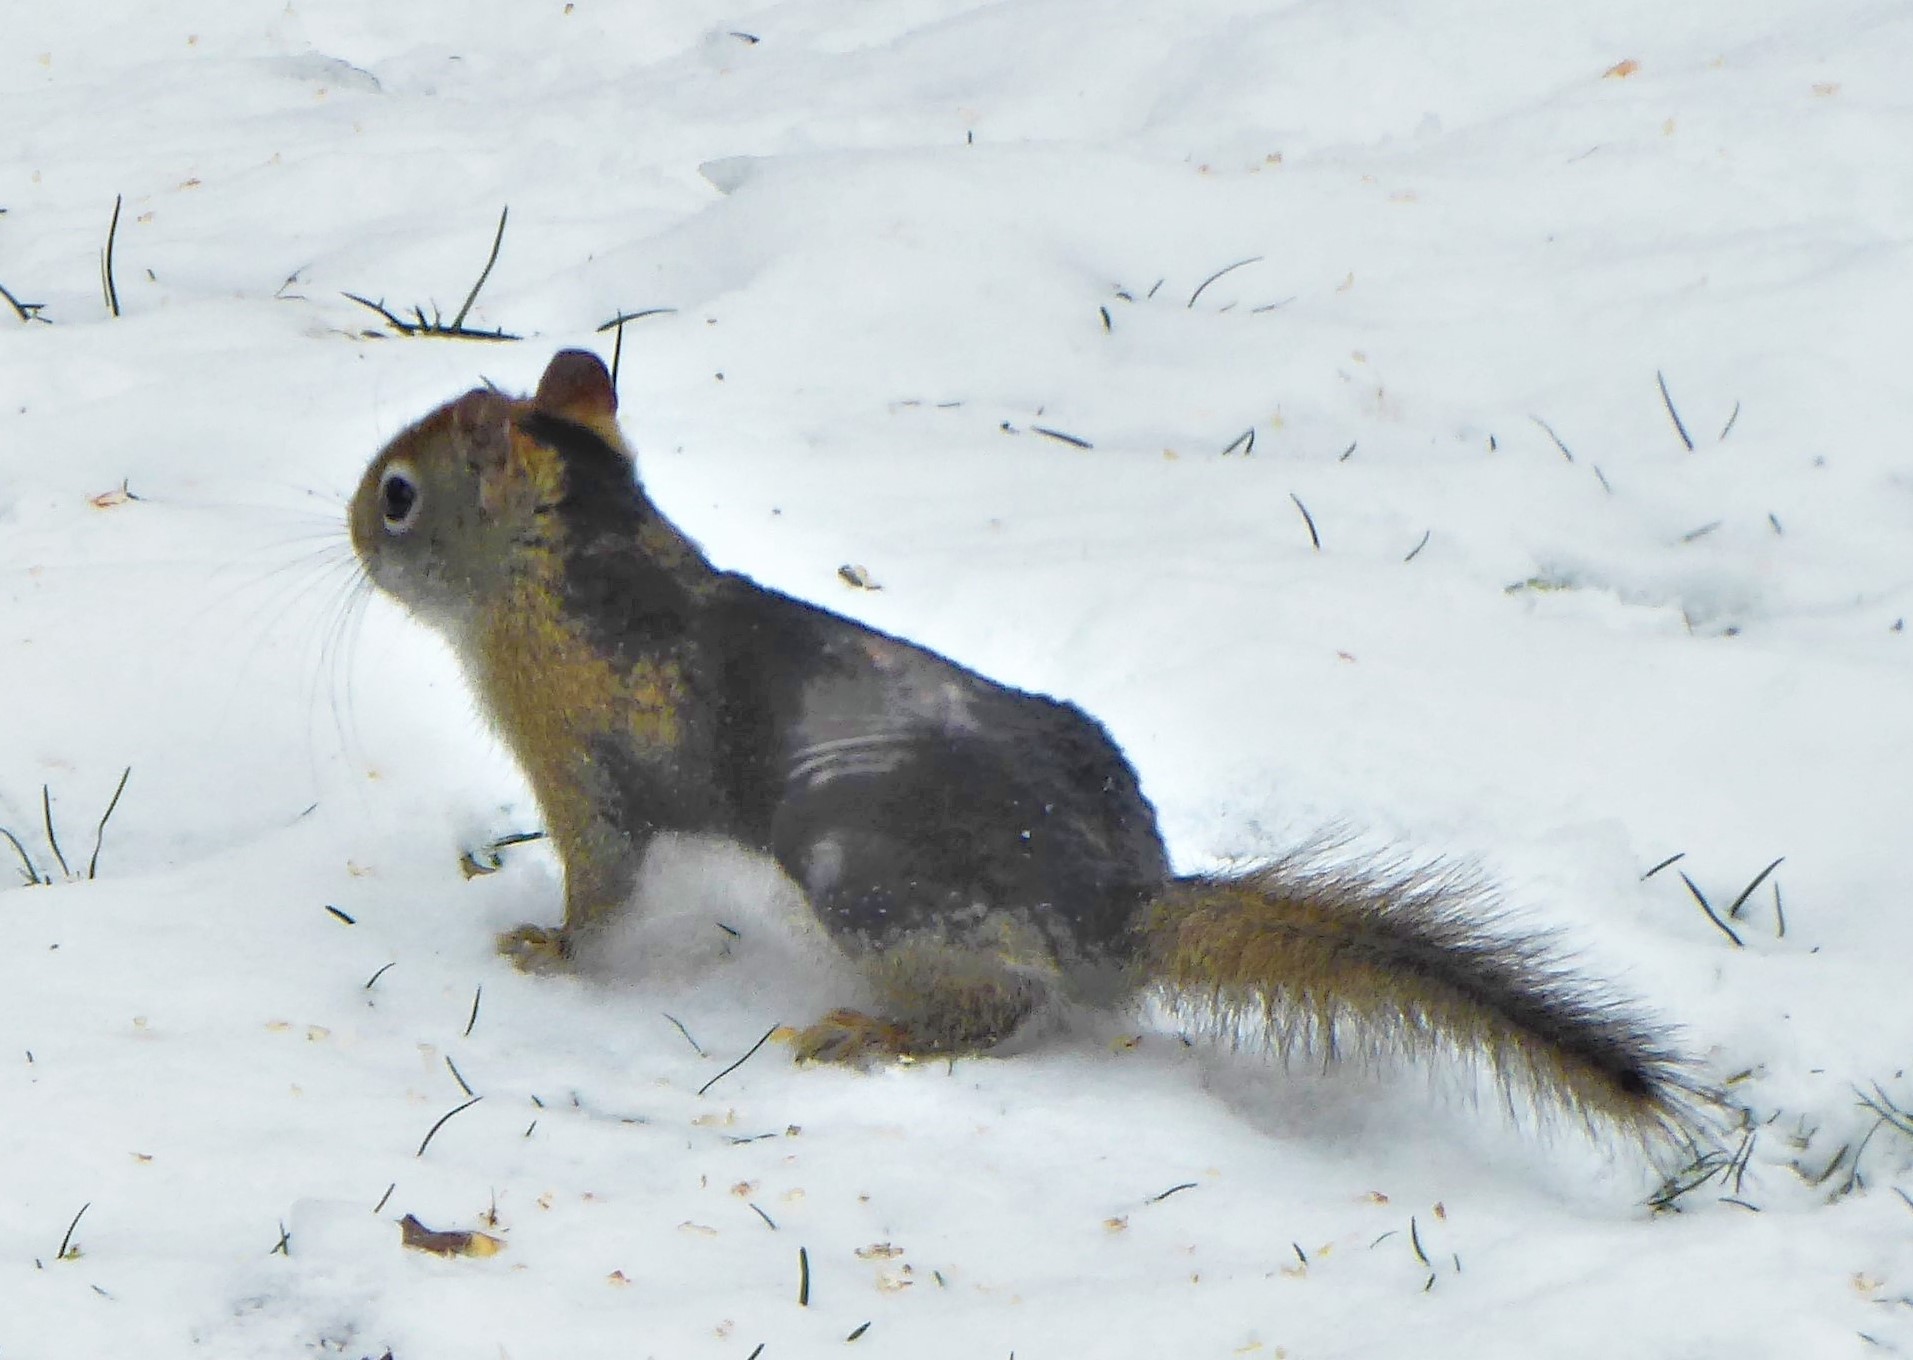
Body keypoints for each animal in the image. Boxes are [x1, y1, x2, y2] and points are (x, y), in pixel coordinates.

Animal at [349, 348, 1701, 1142]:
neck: (578, 572)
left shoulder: (585, 769)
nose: (354, 528)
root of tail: (1117, 902)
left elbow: (606, 891)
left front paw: (546, 950)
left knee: (997, 1005)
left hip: (874, 882)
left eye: (401, 495)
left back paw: (875, 1035)